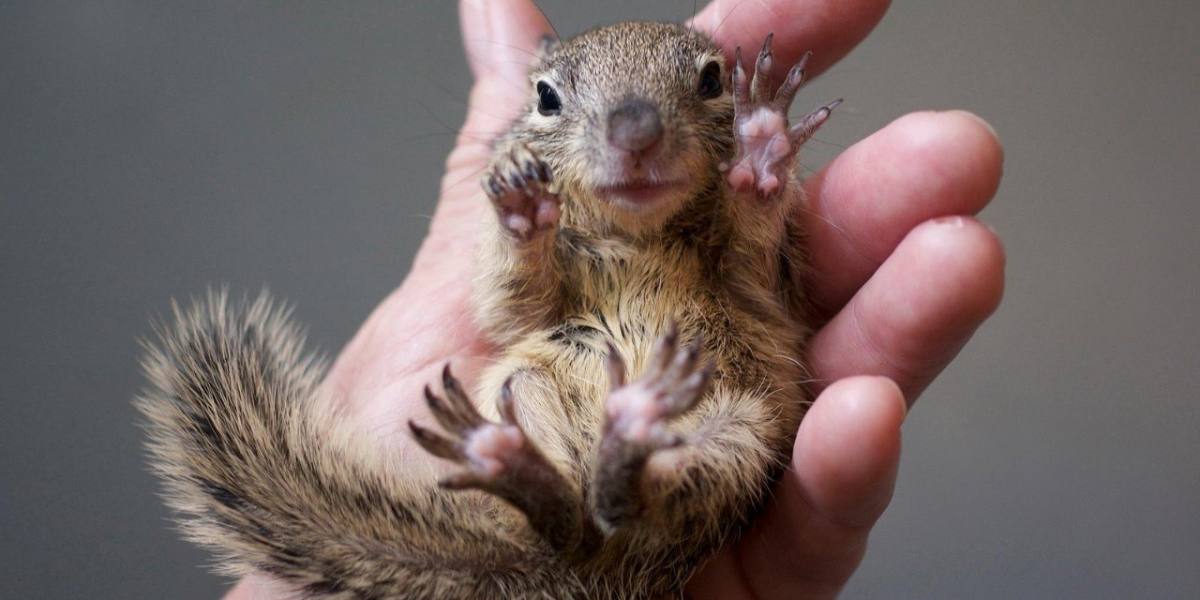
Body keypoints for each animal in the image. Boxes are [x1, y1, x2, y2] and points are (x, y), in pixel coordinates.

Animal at [138, 20, 839, 600]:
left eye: (713, 78)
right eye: (546, 97)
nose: (635, 133)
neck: (635, 234)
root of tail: (590, 574)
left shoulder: (765, 288)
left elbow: (752, 256)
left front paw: (761, 144)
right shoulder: (522, 309)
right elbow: (512, 303)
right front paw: (522, 210)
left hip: (739, 441)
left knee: (639, 496)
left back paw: (626, 429)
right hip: (526, 388)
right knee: (569, 519)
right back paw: (516, 462)